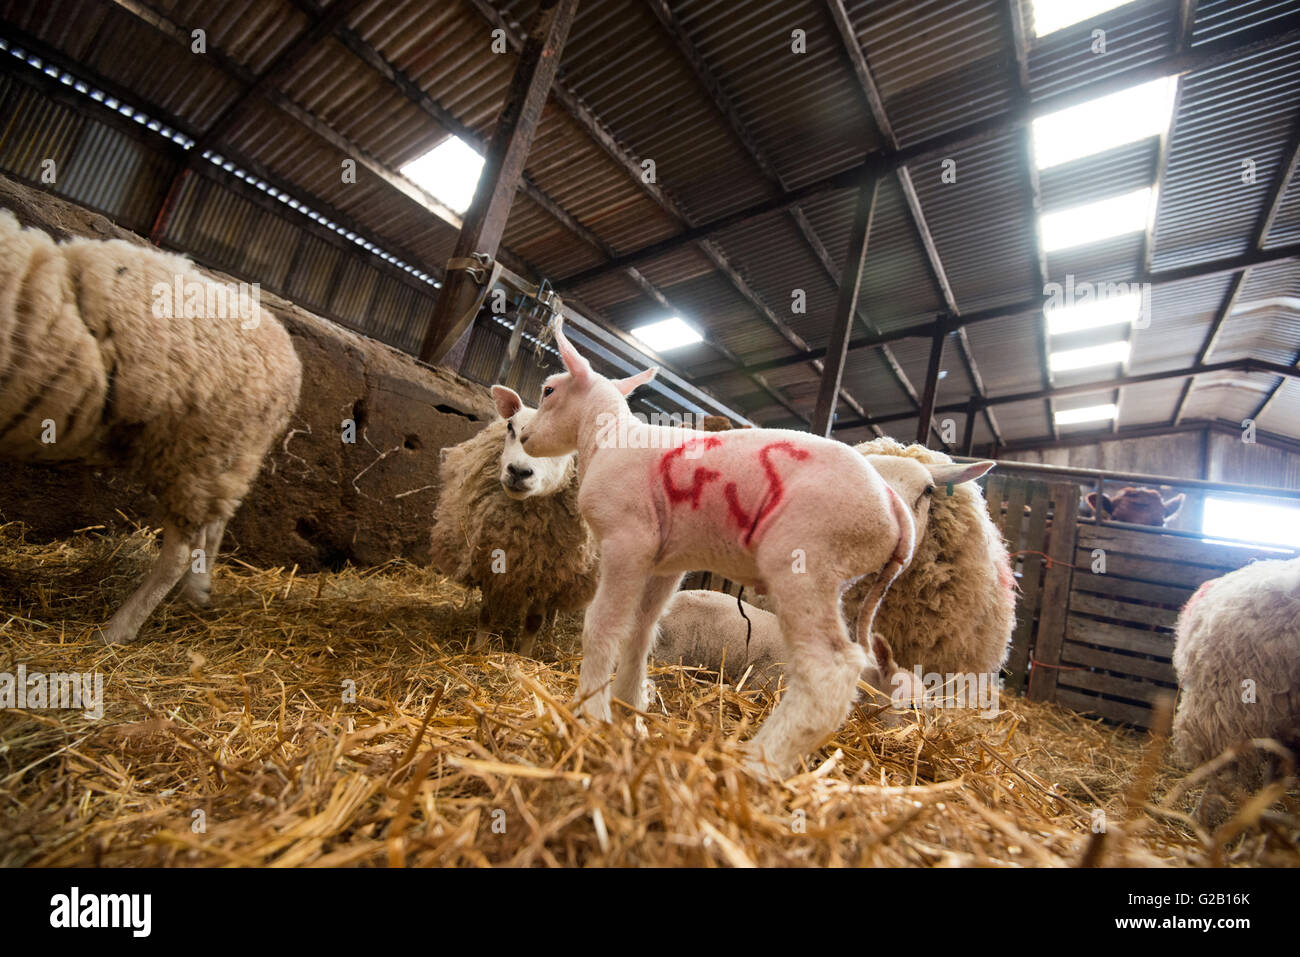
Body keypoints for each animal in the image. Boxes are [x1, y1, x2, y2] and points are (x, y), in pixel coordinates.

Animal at [0, 209, 302, 643]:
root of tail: (287, 350)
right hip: (220, 460)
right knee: (214, 525)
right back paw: (196, 592)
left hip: (201, 455)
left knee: (180, 552)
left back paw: (117, 630)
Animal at [428, 384, 598, 657]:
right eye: (511, 427)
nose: (519, 471)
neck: (523, 532)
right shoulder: (489, 562)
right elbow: (486, 614)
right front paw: (478, 649)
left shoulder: (547, 577)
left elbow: (533, 622)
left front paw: (524, 655)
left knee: (553, 611)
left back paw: (550, 633)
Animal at [517, 315, 917, 777]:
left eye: (548, 390)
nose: (524, 436)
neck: (606, 439)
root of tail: (893, 504)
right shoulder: (664, 562)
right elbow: (641, 631)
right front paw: (629, 709)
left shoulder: (626, 540)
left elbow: (602, 626)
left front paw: (591, 716)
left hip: (806, 560)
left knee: (829, 668)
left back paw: (755, 763)